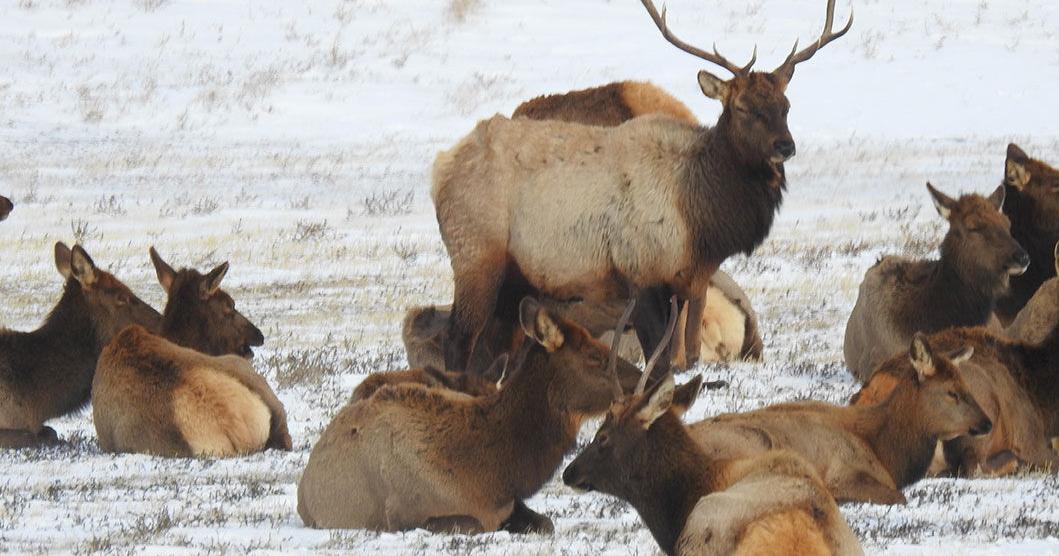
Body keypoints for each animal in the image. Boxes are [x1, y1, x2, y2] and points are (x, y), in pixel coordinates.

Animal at [298, 297, 672, 534]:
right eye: (595, 356)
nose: (649, 381)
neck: (491, 471)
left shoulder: (509, 503)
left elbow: (545, 524)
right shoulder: (405, 516)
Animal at [432, 0, 852, 378]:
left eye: (786, 104)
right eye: (743, 107)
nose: (785, 146)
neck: (699, 216)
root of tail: (441, 166)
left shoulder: (688, 279)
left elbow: (682, 356)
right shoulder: (642, 272)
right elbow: (661, 361)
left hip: (517, 276)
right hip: (475, 254)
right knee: (458, 339)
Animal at [688, 333, 991, 504]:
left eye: (966, 384)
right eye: (952, 392)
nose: (987, 423)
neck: (887, 454)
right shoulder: (843, 470)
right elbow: (898, 496)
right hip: (754, 442)